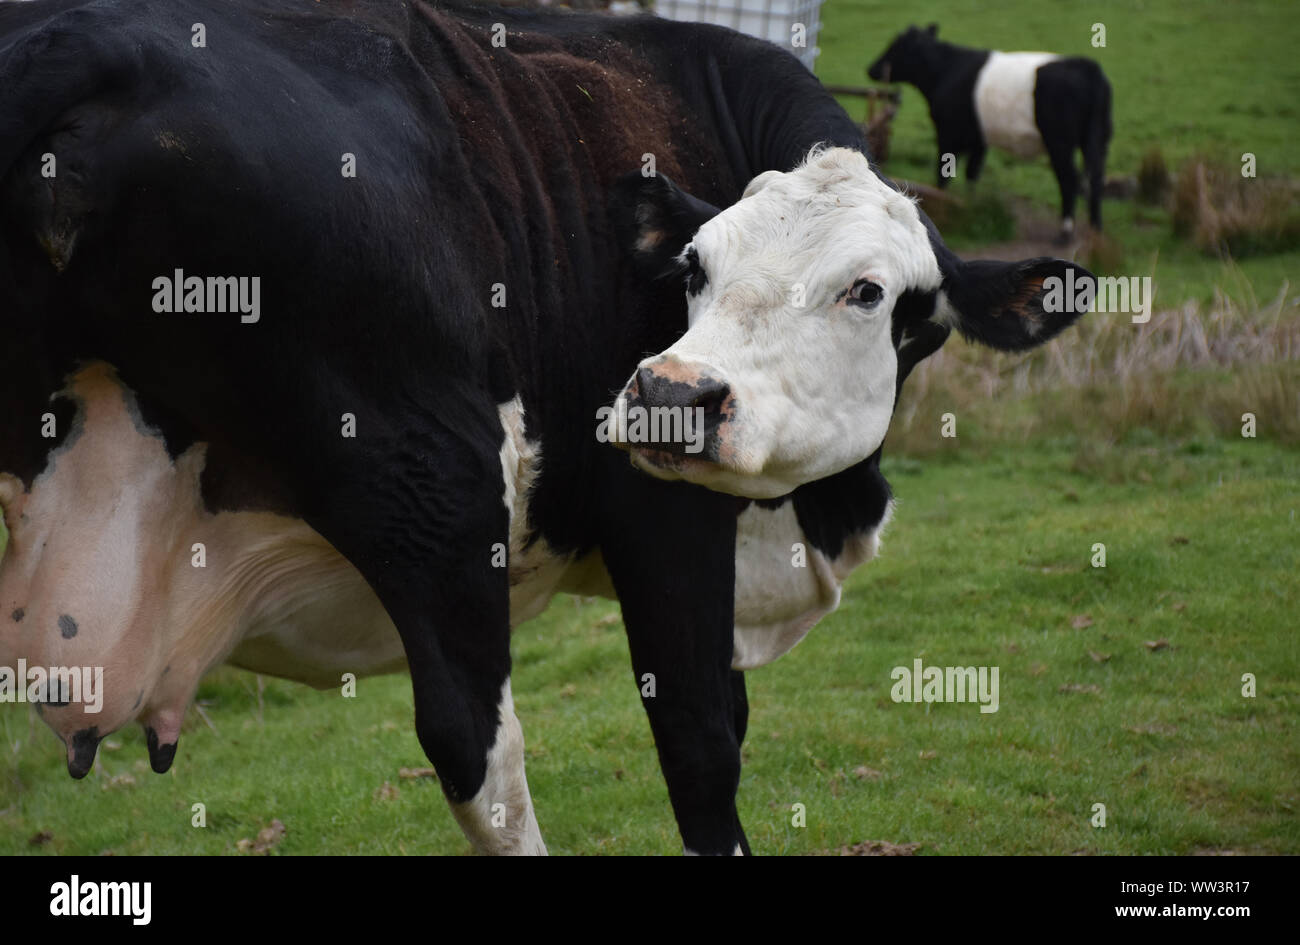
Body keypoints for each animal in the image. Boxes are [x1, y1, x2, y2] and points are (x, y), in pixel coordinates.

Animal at [867, 23, 1113, 237]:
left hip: (1060, 141)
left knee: (1069, 178)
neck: (946, 71)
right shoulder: (979, 139)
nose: (872, 68)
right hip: (1099, 138)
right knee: (1096, 178)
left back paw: (1066, 231)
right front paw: (969, 205)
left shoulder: (948, 134)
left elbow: (942, 175)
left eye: (897, 45)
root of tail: (1088, 66)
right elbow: (972, 174)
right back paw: (1096, 230)